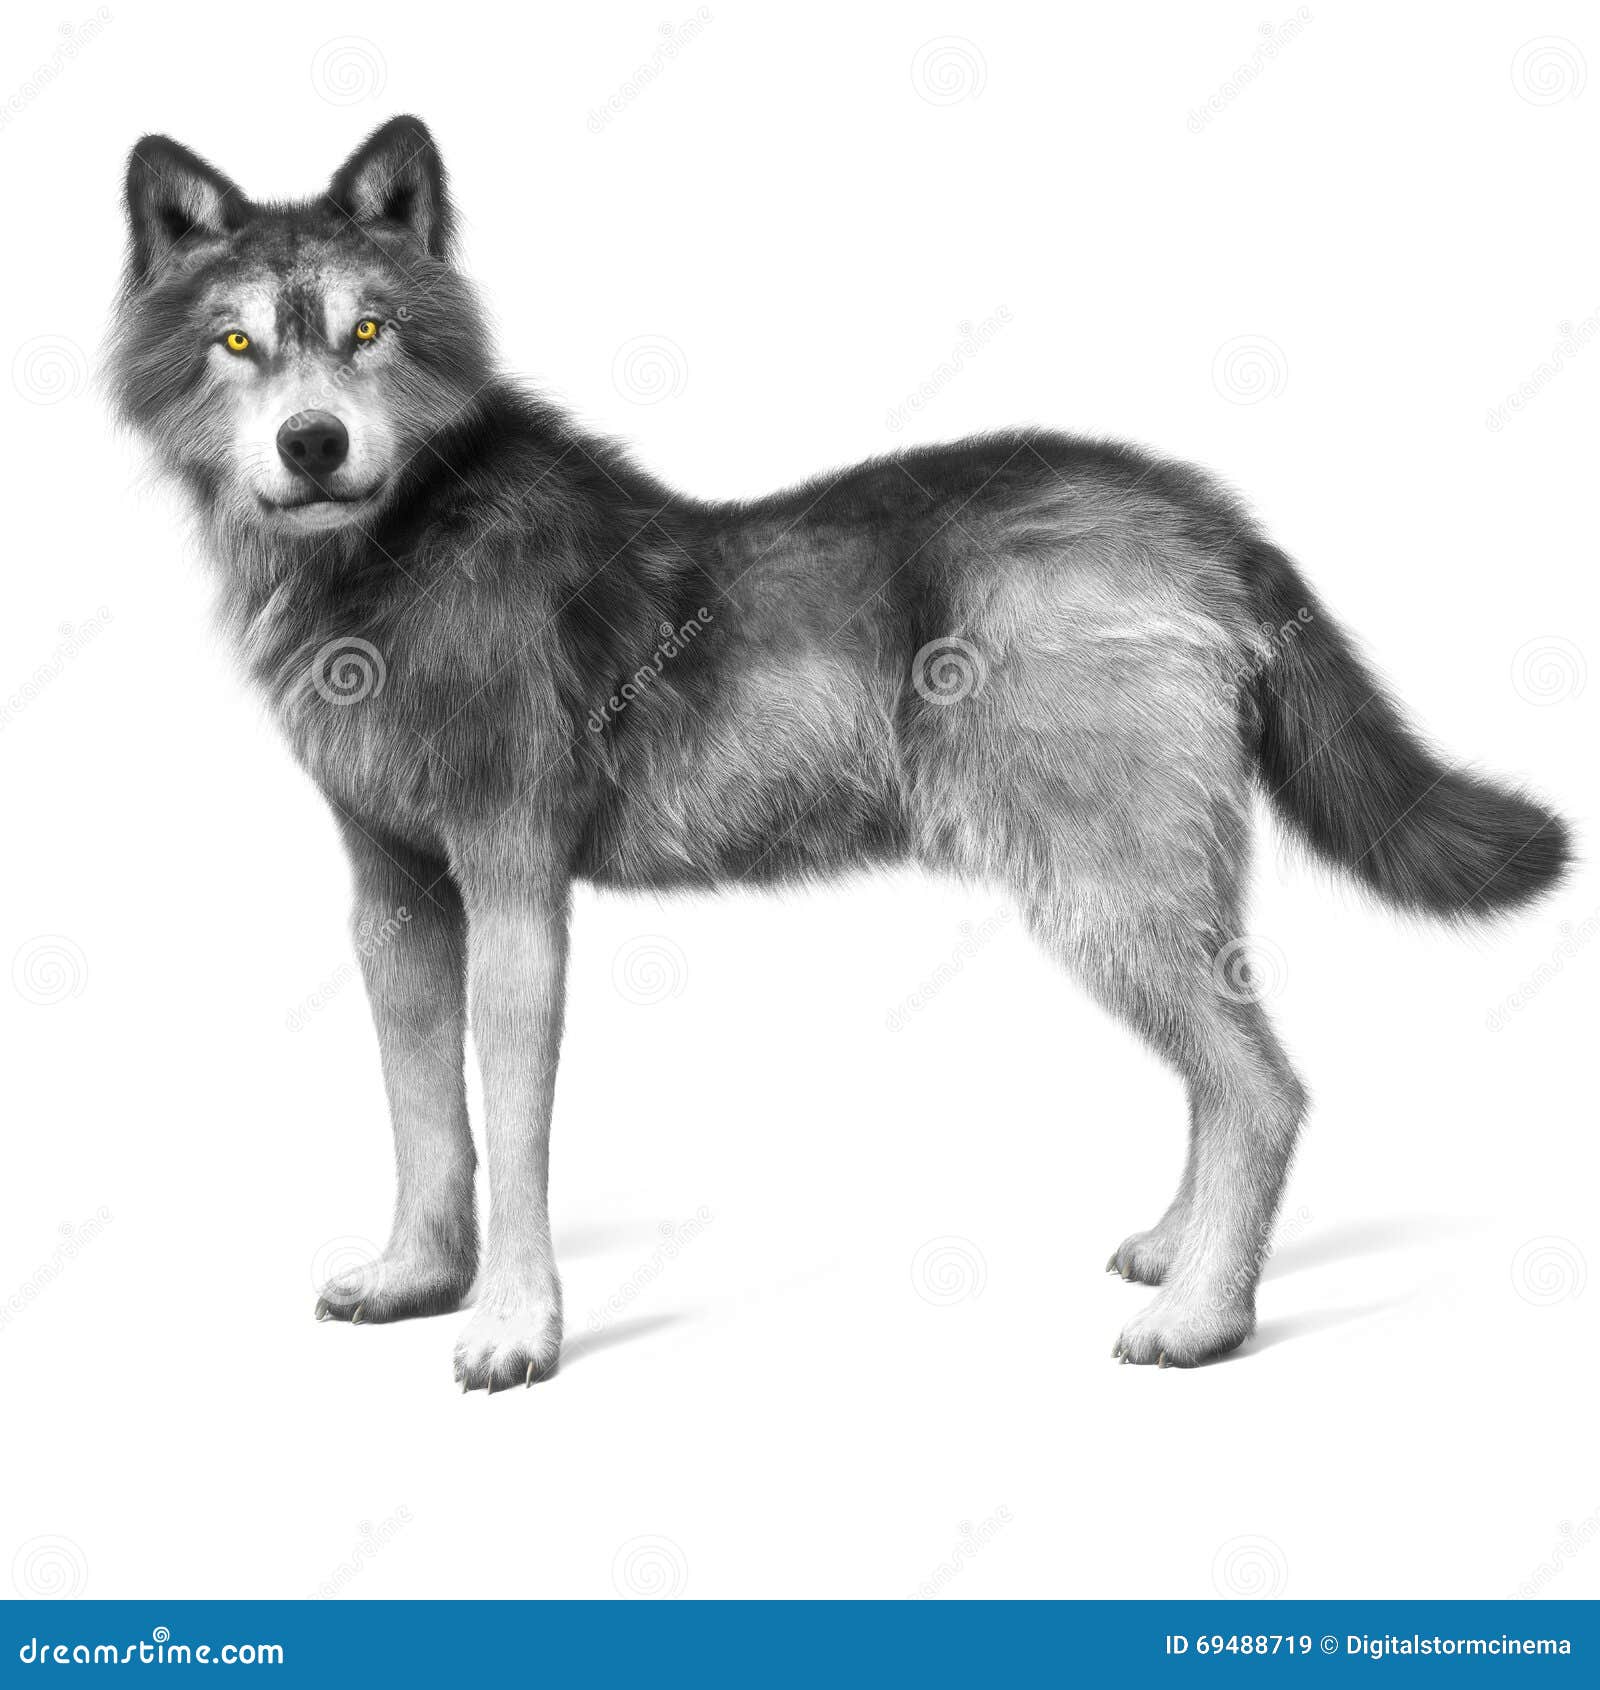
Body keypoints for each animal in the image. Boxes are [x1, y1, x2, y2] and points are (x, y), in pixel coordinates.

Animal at [110, 116, 1569, 1388]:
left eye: (368, 330)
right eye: (238, 341)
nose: (313, 443)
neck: (403, 541)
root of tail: (1203, 513)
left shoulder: (517, 890)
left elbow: (513, 1137)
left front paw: (515, 1329)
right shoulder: (399, 895)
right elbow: (426, 1119)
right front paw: (419, 1276)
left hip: (1103, 892)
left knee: (1264, 1088)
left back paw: (1206, 1319)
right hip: (1151, 893)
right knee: (1226, 1077)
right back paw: (1180, 1252)